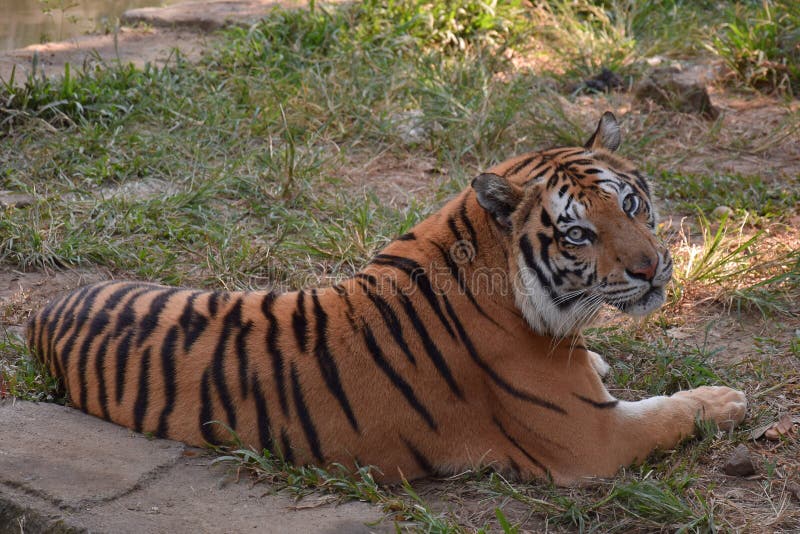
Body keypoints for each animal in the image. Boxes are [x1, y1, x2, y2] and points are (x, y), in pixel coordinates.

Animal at [26, 112, 746, 485]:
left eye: (631, 205)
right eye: (577, 234)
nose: (652, 270)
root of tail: (45, 311)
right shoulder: (590, 440)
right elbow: (671, 412)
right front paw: (726, 400)